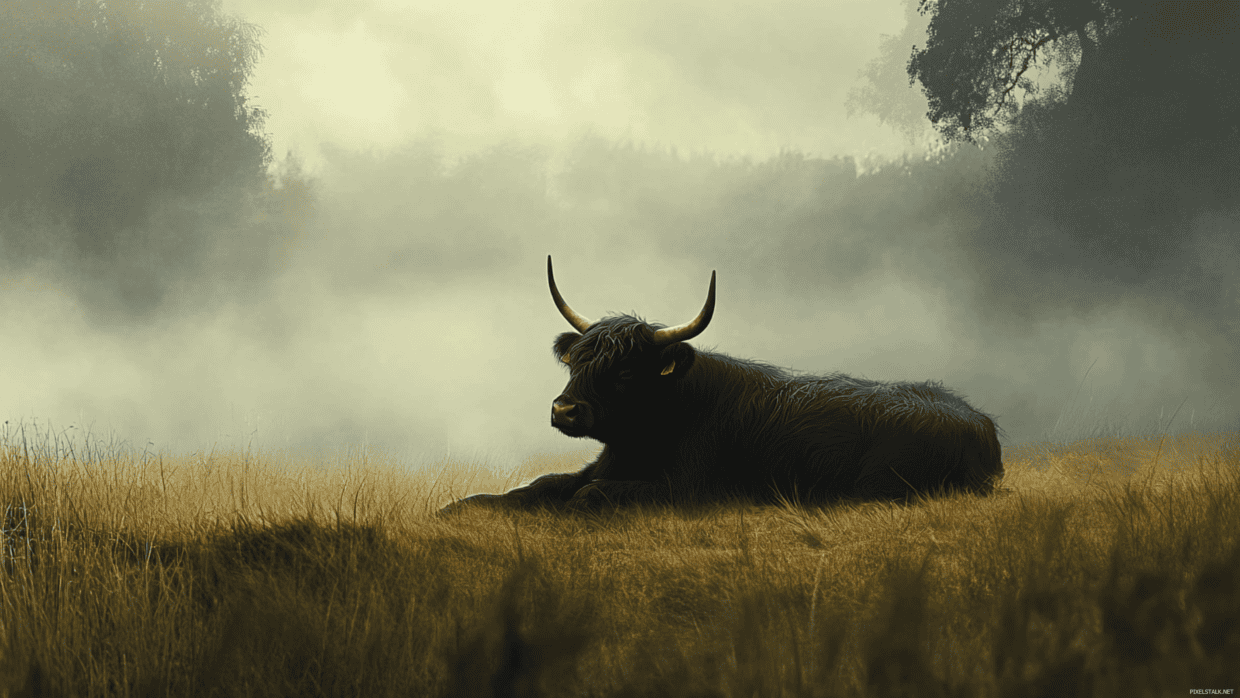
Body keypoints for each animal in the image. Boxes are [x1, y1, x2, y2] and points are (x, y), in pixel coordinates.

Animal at [439, 256, 1003, 515]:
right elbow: (538, 486)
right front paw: (454, 508)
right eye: (575, 361)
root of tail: (979, 421)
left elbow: (591, 494)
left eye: (625, 371)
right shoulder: (598, 464)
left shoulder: (691, 489)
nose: (564, 410)